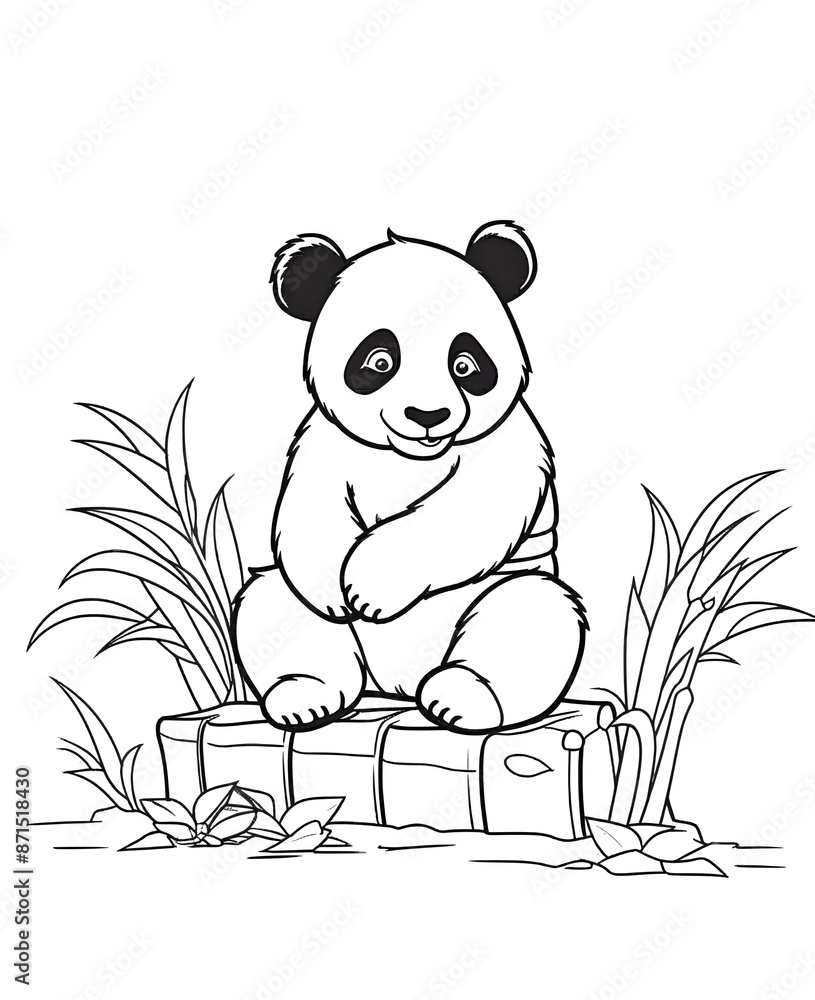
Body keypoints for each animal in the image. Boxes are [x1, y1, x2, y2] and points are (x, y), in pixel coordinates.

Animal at [233, 222, 587, 734]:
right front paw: (339, 594)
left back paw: (462, 697)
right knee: (274, 602)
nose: (428, 415)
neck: (406, 458)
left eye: (465, 363)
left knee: (530, 612)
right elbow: (310, 513)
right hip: (301, 617)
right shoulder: (325, 442)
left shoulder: (508, 441)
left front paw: (369, 587)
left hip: (504, 602)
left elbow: (465, 513)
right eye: (380, 361)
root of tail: (394, 685)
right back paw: (304, 696)